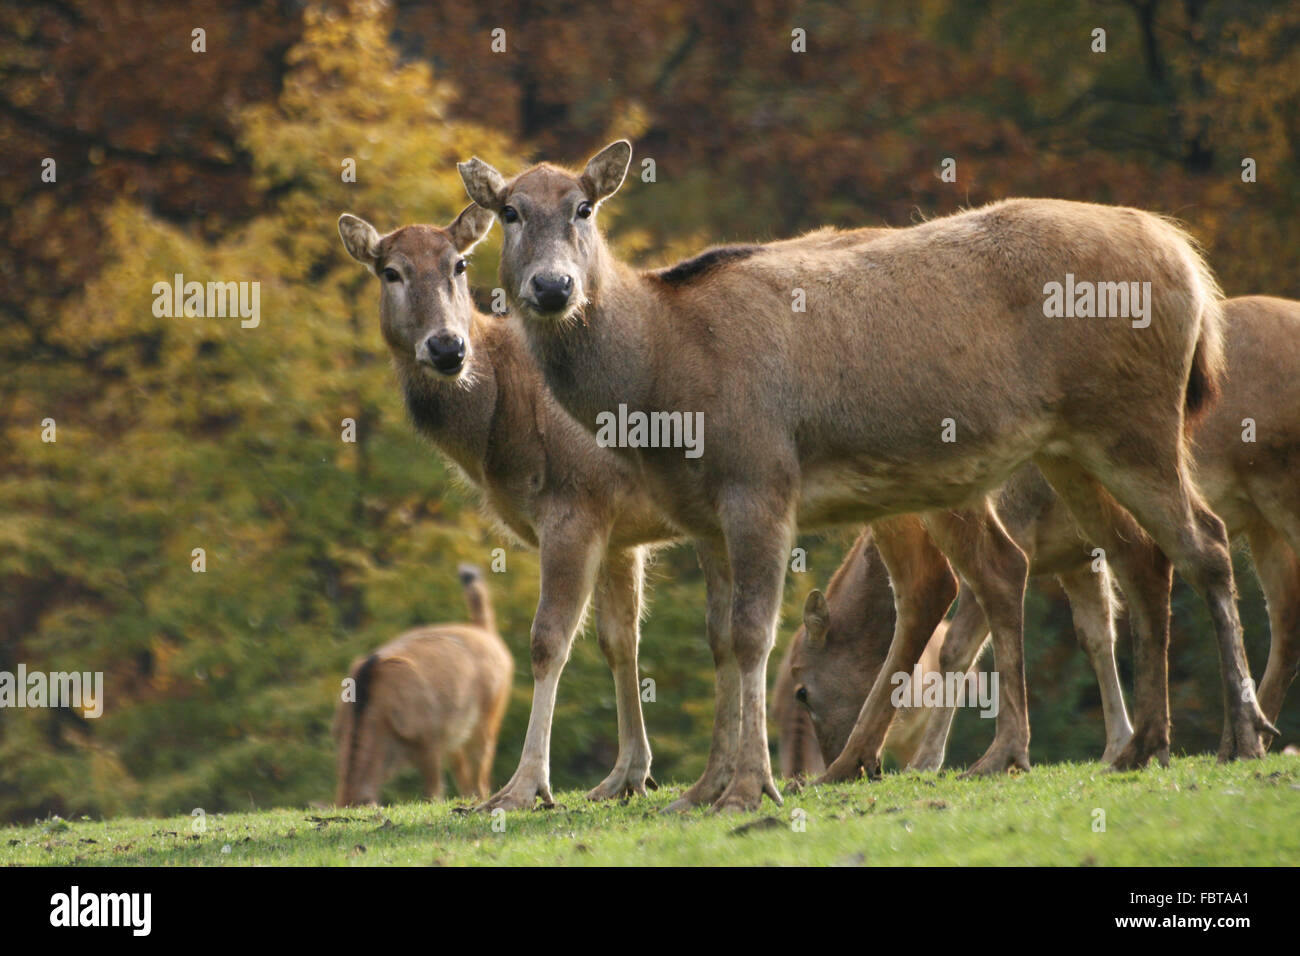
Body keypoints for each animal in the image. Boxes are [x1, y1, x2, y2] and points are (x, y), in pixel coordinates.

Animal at [334, 565, 513, 804]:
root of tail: (484, 631)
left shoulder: (430, 741)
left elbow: (433, 793)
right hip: (456, 733)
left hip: (487, 720)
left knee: (481, 778)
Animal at [781, 295, 1300, 774]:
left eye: (801, 690)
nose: (840, 763)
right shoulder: (1077, 557)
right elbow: (1096, 637)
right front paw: (1116, 742)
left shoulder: (1018, 537)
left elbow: (957, 649)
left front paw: (928, 761)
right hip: (1263, 527)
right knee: (1286, 624)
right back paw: (1255, 733)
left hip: (1282, 495)